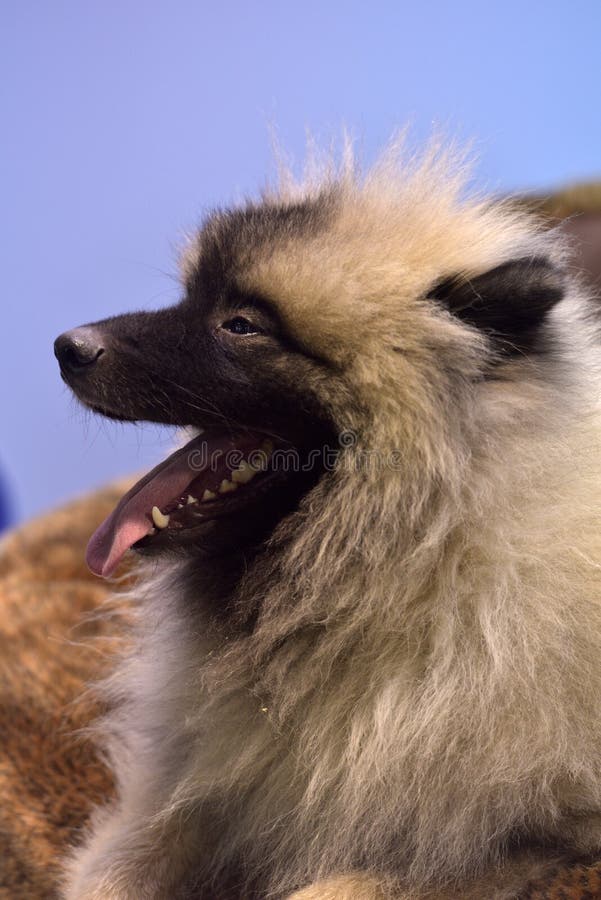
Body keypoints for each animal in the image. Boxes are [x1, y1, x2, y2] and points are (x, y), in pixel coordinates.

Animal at [54, 143, 601, 899]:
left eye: (242, 325)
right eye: (191, 299)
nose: (66, 346)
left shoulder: (519, 842)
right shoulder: (203, 790)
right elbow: (124, 864)